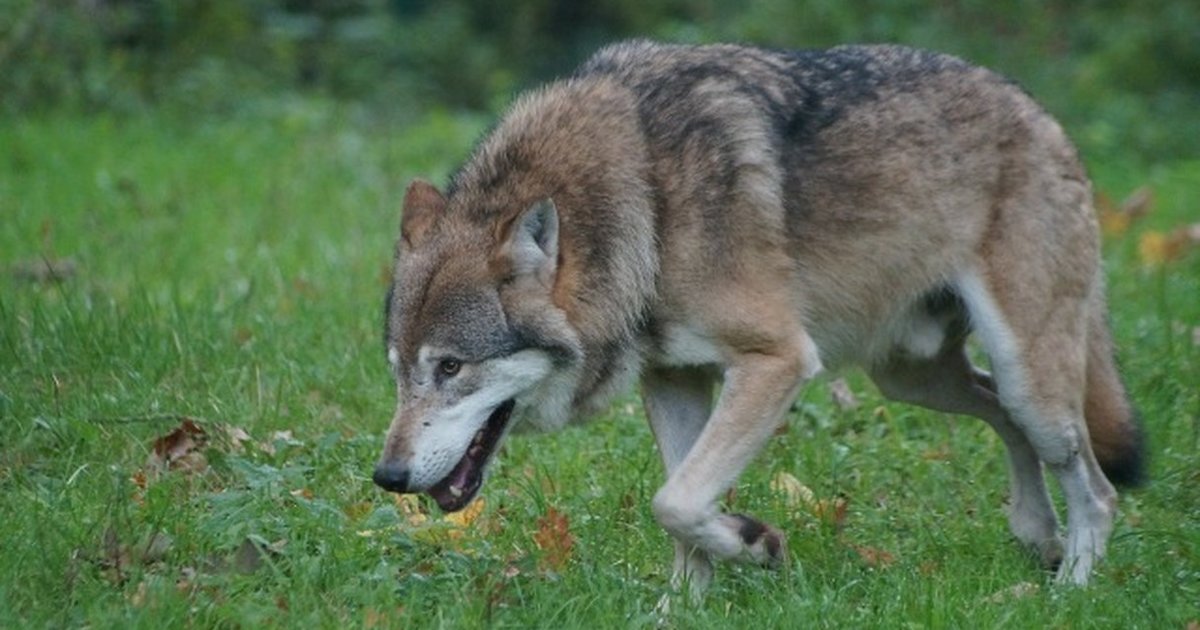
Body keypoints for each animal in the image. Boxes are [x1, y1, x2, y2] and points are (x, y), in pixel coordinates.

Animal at [373, 40, 1145, 594]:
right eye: (398, 372)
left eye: (451, 367)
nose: (386, 477)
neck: (647, 208)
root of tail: (1042, 115)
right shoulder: (674, 380)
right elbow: (680, 510)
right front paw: (681, 608)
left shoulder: (777, 360)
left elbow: (675, 502)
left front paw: (757, 543)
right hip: (915, 379)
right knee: (1004, 418)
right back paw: (1037, 535)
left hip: (1025, 376)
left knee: (1098, 490)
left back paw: (1071, 591)